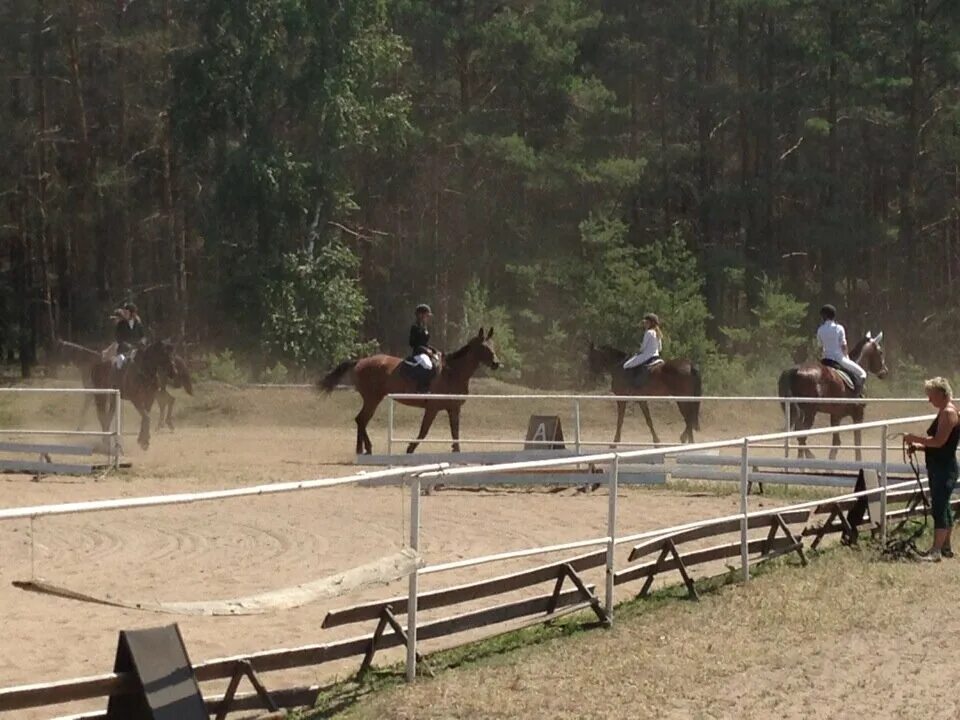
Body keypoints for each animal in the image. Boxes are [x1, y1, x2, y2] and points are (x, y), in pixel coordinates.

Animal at [320, 328, 502, 456]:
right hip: (373, 399)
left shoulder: (454, 408)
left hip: (372, 399)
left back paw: (362, 449)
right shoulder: (433, 408)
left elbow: (455, 433)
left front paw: (457, 453)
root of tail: (360, 361)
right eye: (484, 347)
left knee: (361, 420)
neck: (453, 372)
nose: (496, 363)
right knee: (361, 419)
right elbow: (423, 431)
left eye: (493, 346)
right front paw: (410, 448)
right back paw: (367, 448)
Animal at [776, 332, 888, 462]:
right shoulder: (858, 414)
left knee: (799, 433)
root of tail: (795, 370)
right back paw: (809, 458)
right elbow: (857, 442)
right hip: (810, 412)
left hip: (801, 411)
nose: (885, 372)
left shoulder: (836, 415)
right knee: (802, 435)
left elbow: (836, 442)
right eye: (880, 352)